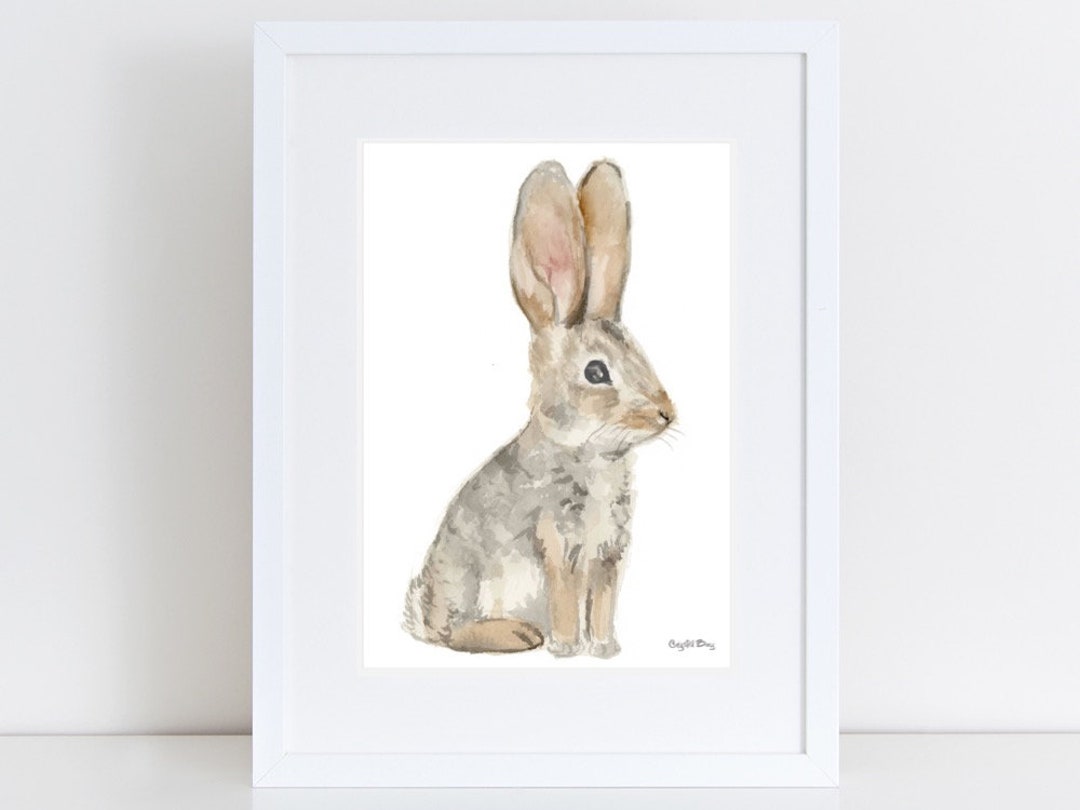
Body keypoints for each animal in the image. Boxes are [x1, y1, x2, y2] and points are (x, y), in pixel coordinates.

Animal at [402, 159, 675, 658]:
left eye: (640, 354)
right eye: (596, 372)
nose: (667, 414)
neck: (589, 454)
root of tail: (422, 614)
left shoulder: (608, 556)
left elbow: (602, 604)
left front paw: (605, 649)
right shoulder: (555, 543)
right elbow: (566, 599)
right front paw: (566, 649)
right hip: (466, 586)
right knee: (452, 636)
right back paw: (518, 634)